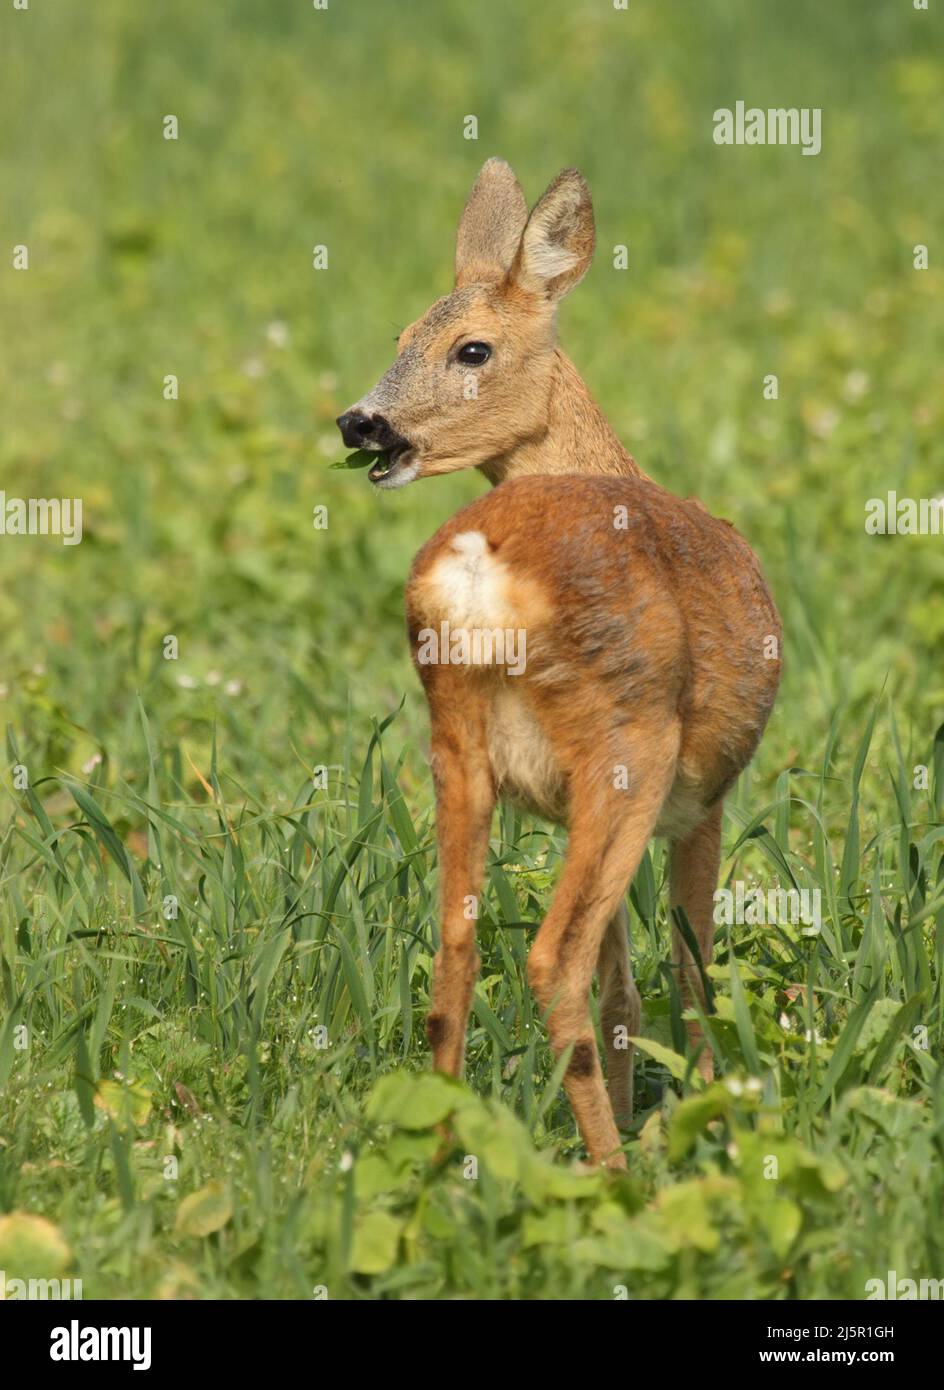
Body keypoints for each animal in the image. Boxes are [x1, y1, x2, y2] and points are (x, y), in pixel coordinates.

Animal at [337, 159, 782, 1168]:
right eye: (401, 338)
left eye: (467, 348)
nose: (359, 424)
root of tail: (477, 568)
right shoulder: (703, 797)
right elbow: (686, 976)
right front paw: (701, 1117)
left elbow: (626, 993)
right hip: (629, 747)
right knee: (552, 958)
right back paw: (613, 1170)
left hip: (457, 749)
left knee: (456, 952)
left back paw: (446, 1157)